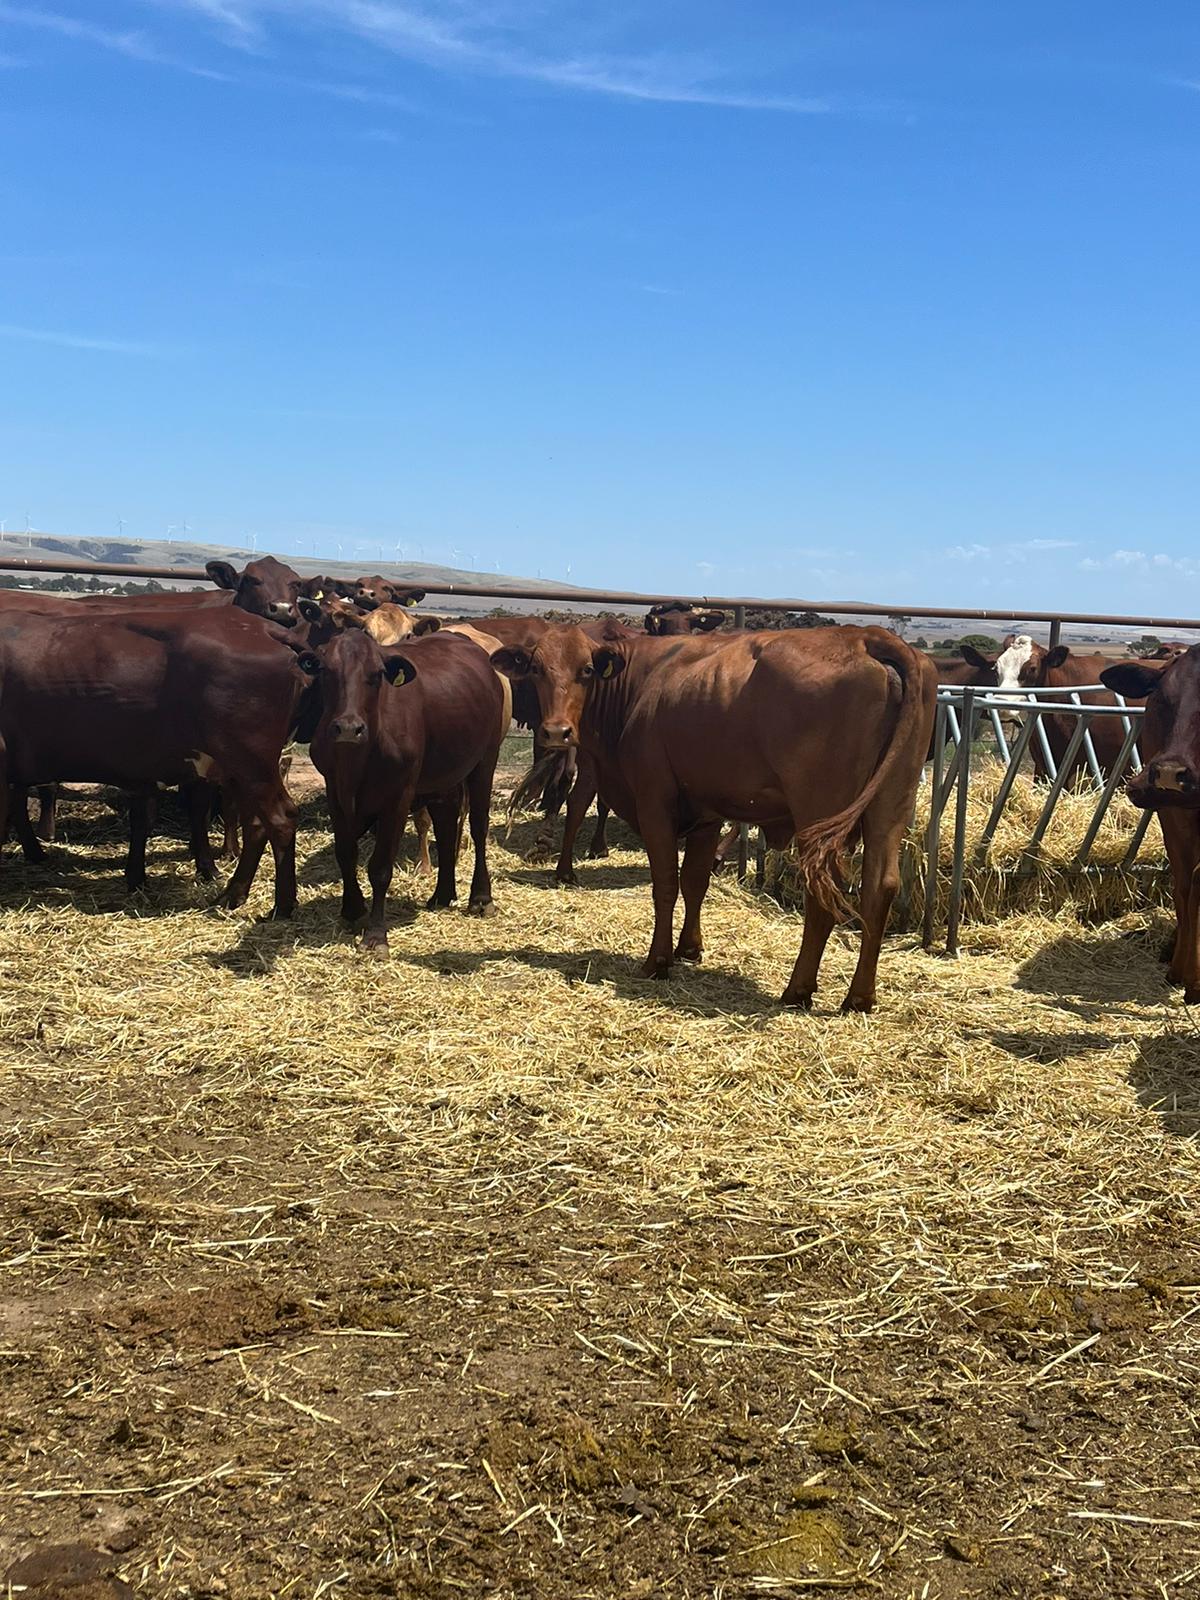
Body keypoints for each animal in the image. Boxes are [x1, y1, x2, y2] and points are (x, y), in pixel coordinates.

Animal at [0, 608, 312, 912]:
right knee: (255, 825)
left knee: (280, 819)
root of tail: (260, 626)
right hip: (237, 770)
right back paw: (234, 894)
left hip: (250, 761)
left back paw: (282, 905)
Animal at [309, 629, 504, 953]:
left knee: (478, 827)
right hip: (444, 777)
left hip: (485, 760)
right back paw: (442, 894)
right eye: (325, 670)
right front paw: (352, 911)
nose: (348, 728)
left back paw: (480, 898)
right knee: (446, 826)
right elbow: (345, 853)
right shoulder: (335, 792)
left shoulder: (397, 799)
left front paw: (376, 936)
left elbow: (380, 868)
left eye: (376, 674)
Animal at [493, 624, 936, 1011]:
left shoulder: (655, 804)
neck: (639, 683)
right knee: (880, 887)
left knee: (821, 893)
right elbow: (695, 882)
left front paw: (658, 960)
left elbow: (666, 884)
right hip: (890, 807)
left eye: (586, 670)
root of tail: (865, 636)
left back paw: (798, 989)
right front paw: (689, 947)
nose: (557, 732)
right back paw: (859, 997)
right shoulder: (706, 814)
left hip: (819, 812)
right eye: (536, 668)